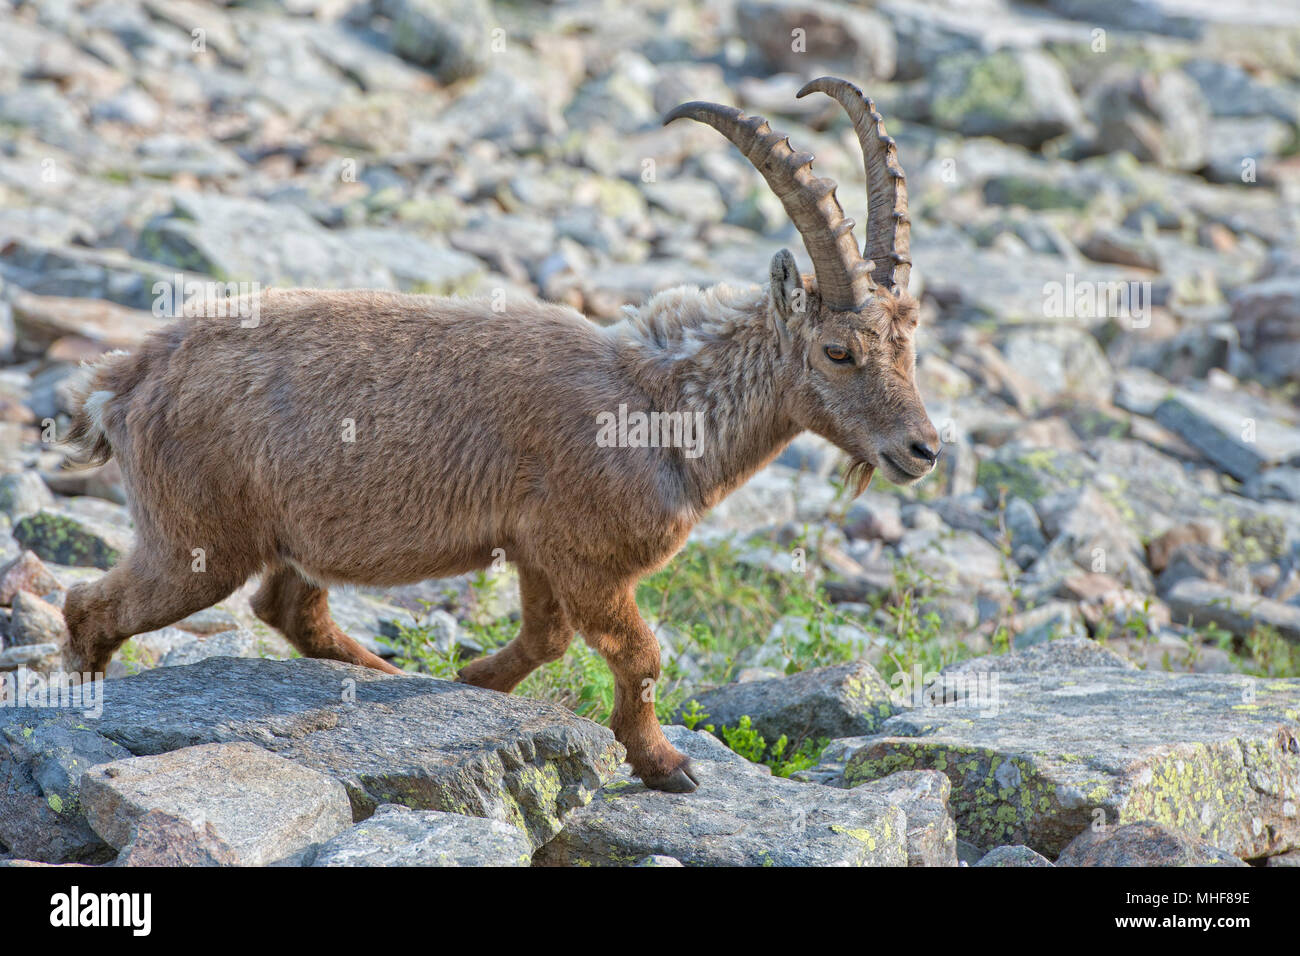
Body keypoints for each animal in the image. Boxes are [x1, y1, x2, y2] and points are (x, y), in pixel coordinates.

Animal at [60, 77, 939, 793]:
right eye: (837, 350)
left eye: (911, 340)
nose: (923, 450)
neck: (659, 408)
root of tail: (124, 378)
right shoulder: (587, 558)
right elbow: (639, 656)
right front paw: (666, 766)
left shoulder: (536, 552)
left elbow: (547, 640)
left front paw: (472, 681)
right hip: (196, 541)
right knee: (89, 606)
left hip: (285, 537)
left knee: (288, 610)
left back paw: (383, 672)